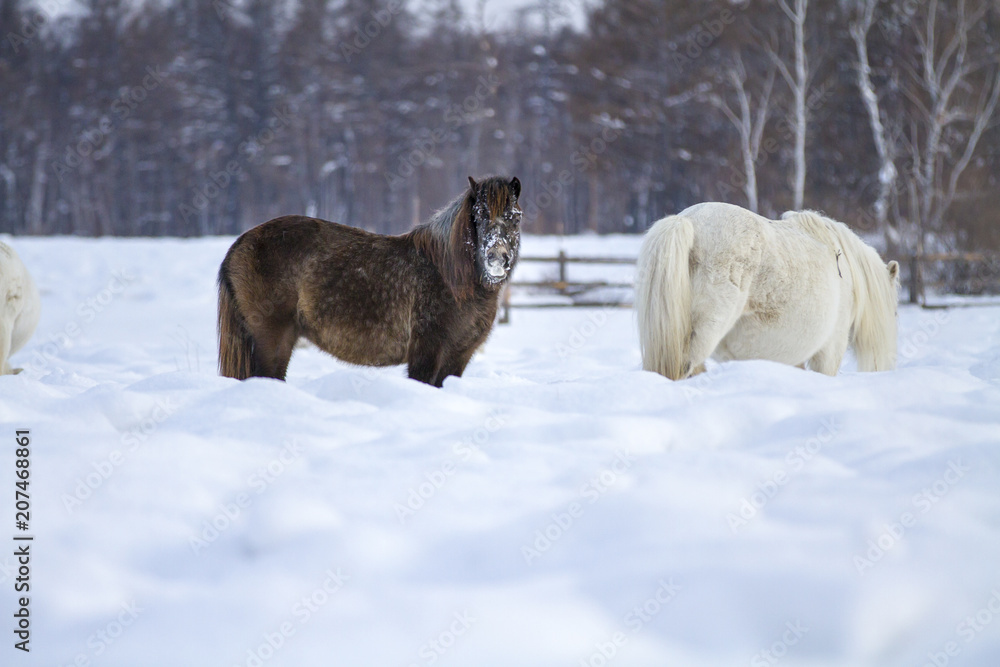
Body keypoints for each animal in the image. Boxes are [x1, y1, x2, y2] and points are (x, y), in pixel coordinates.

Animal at [218, 175, 521, 386]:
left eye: (514, 218)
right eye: (479, 215)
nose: (496, 258)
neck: (448, 277)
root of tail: (240, 244)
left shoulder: (458, 357)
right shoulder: (426, 353)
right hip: (273, 337)